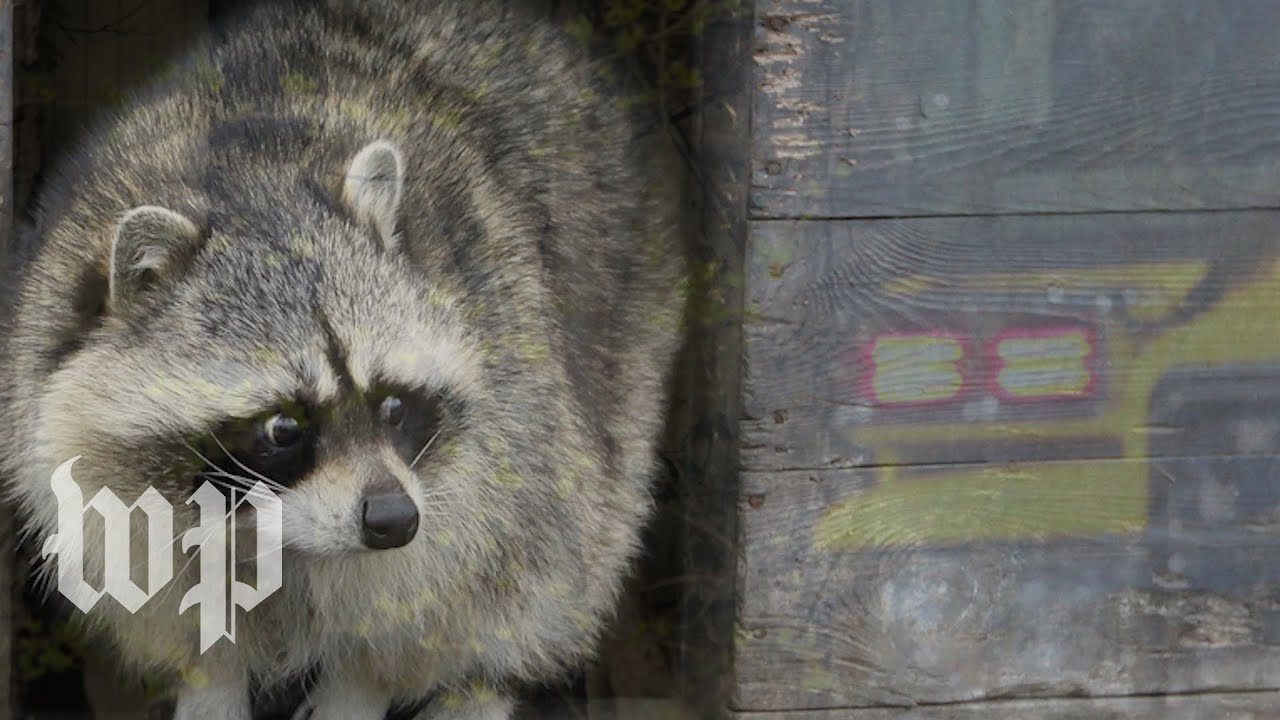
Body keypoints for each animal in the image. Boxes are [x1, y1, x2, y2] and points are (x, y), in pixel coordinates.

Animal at [0, 1, 687, 718]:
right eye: (284, 426)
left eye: (393, 402)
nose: (393, 519)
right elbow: (180, 610)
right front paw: (211, 682)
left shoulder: (507, 414)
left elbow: (438, 599)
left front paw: (360, 685)